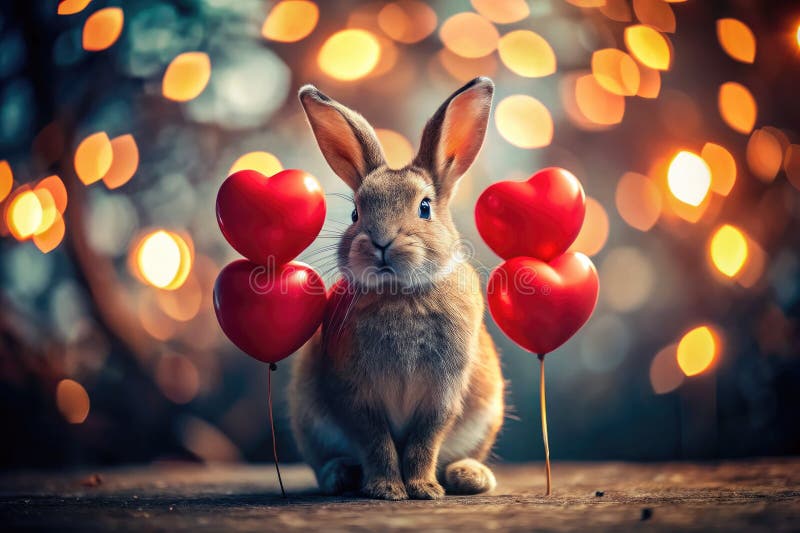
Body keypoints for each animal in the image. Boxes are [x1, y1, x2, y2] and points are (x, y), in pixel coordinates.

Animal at [289, 77, 504, 500]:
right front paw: (387, 489)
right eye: (355, 213)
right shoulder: (355, 393)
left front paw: (423, 489)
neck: (401, 293)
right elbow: (377, 442)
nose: (381, 242)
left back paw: (469, 476)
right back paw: (341, 476)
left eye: (424, 208)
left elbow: (424, 440)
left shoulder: (442, 392)